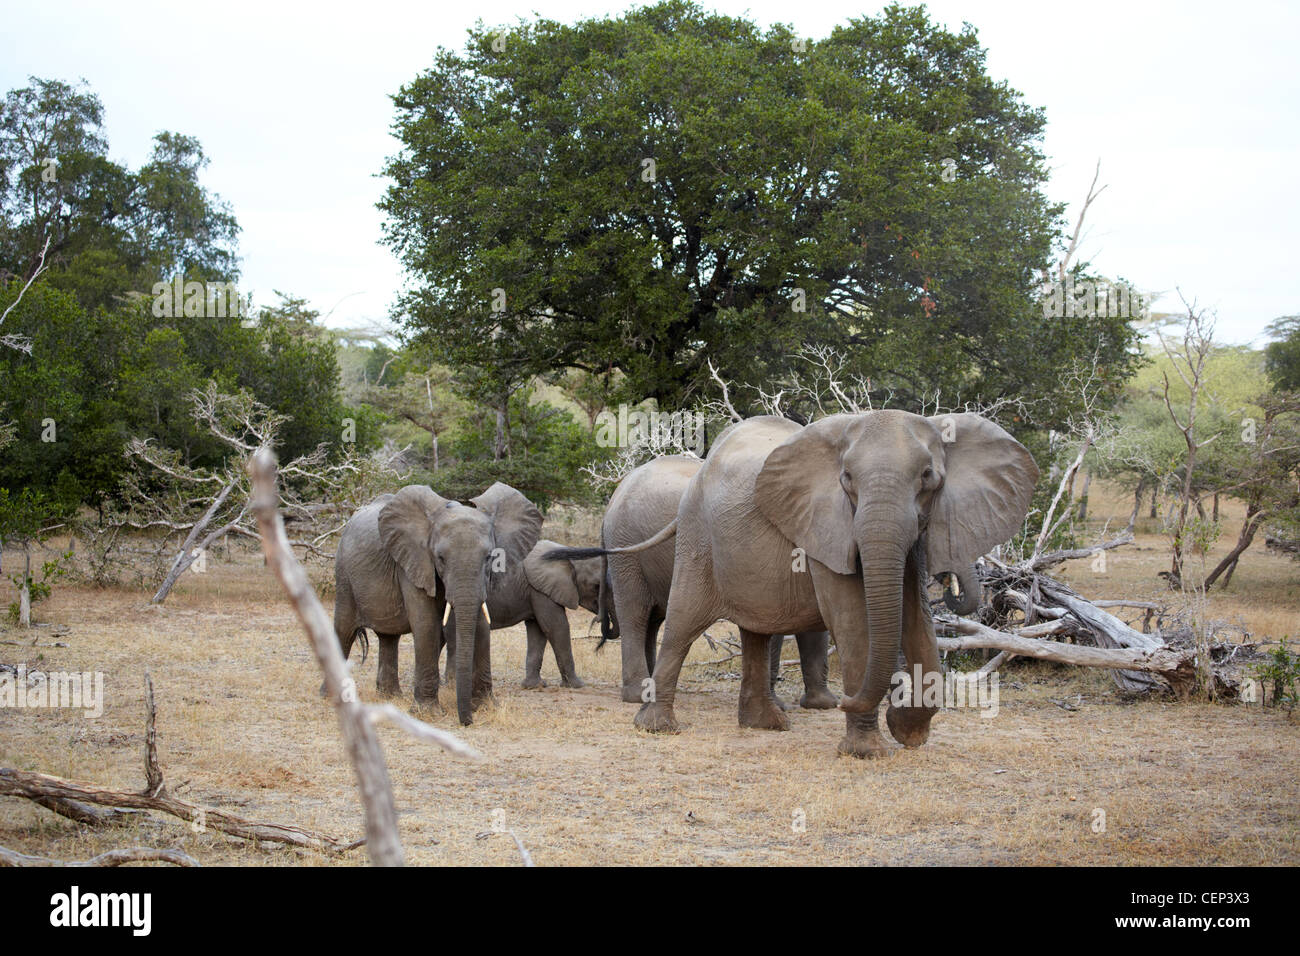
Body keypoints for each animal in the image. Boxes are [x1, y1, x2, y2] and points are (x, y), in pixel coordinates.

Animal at [332, 481, 543, 725]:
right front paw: (427, 713)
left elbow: (481, 623)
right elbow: (426, 625)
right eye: (440, 558)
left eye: (490, 557)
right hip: (343, 573)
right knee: (344, 629)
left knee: (388, 637)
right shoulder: (414, 560)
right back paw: (330, 696)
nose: (467, 721)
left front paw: (486, 707)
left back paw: (390, 697)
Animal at [550, 455, 838, 710]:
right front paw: (782, 707)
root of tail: (615, 494)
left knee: (652, 620)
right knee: (636, 613)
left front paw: (823, 704)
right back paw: (638, 696)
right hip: (627, 548)